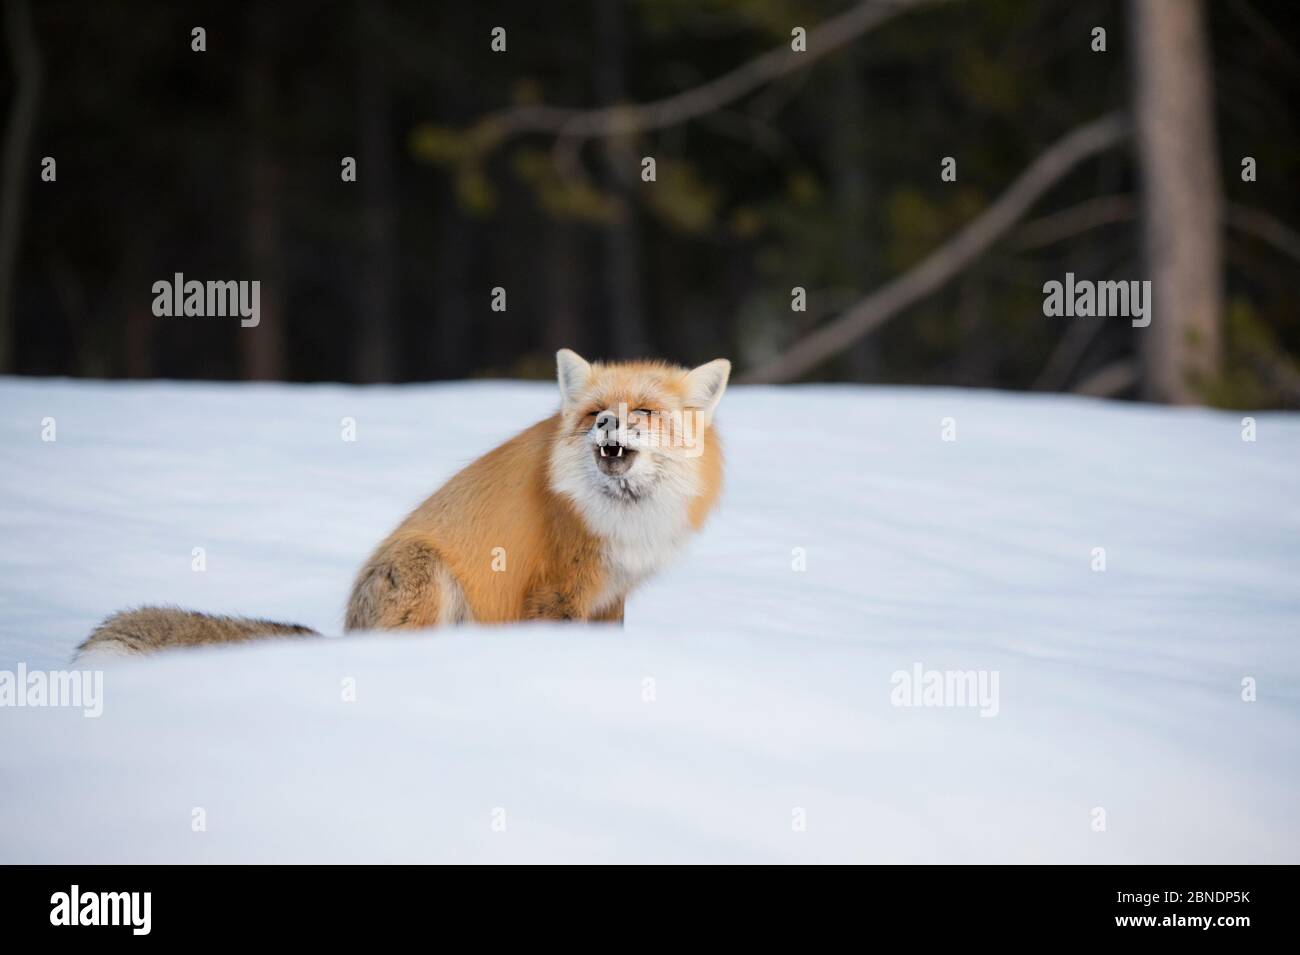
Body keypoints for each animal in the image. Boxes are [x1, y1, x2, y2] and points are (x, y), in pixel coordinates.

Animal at [76, 349, 729, 658]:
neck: (620, 521)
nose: (607, 426)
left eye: (642, 411)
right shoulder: (555, 589)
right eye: (596, 412)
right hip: (428, 575)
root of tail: (347, 632)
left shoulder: (610, 594)